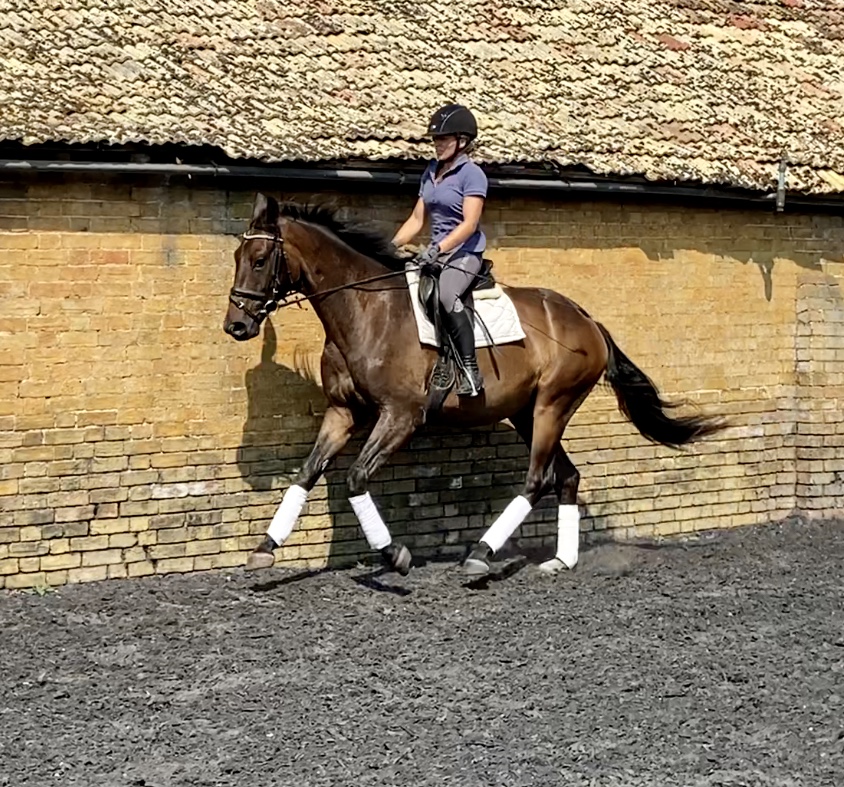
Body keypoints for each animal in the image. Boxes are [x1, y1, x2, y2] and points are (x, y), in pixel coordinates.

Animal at [224, 193, 725, 579]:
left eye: (260, 260)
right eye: (236, 259)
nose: (236, 326)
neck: (367, 310)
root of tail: (586, 319)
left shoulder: (401, 416)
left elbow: (356, 477)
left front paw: (395, 554)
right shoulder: (343, 412)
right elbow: (307, 473)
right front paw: (265, 548)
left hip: (552, 405)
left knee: (538, 478)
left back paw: (481, 556)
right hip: (526, 412)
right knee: (566, 476)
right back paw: (560, 561)